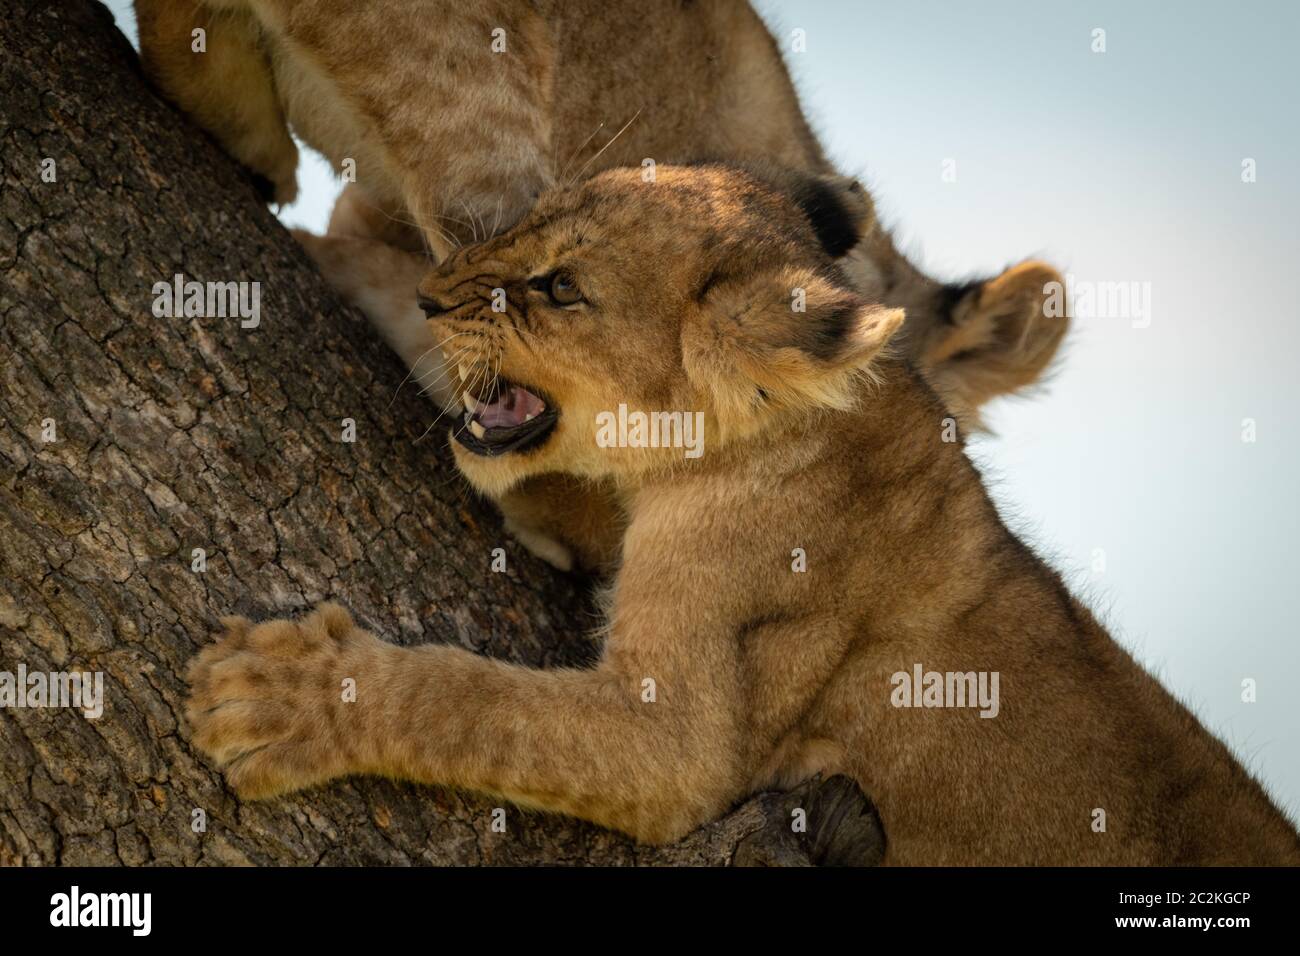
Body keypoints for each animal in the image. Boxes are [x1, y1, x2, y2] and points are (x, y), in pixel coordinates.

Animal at [185, 164, 1300, 863]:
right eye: (527, 220)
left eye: (559, 287)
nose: (431, 293)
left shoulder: (682, 736)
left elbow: (474, 702)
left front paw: (281, 694)